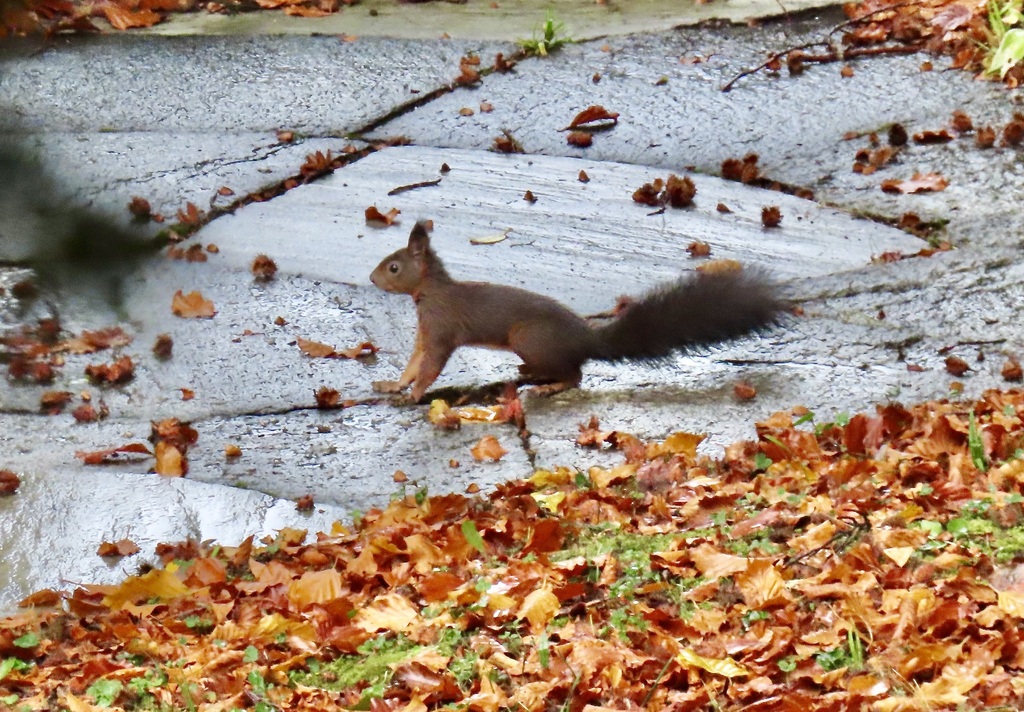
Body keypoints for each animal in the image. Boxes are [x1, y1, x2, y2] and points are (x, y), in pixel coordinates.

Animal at [370, 221, 786, 403]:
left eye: (394, 267)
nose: (372, 278)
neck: (429, 291)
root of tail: (585, 339)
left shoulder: (441, 327)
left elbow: (431, 365)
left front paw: (414, 394)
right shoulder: (426, 330)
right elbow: (414, 361)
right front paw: (394, 385)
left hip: (528, 337)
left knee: (576, 375)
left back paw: (549, 384)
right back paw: (530, 373)